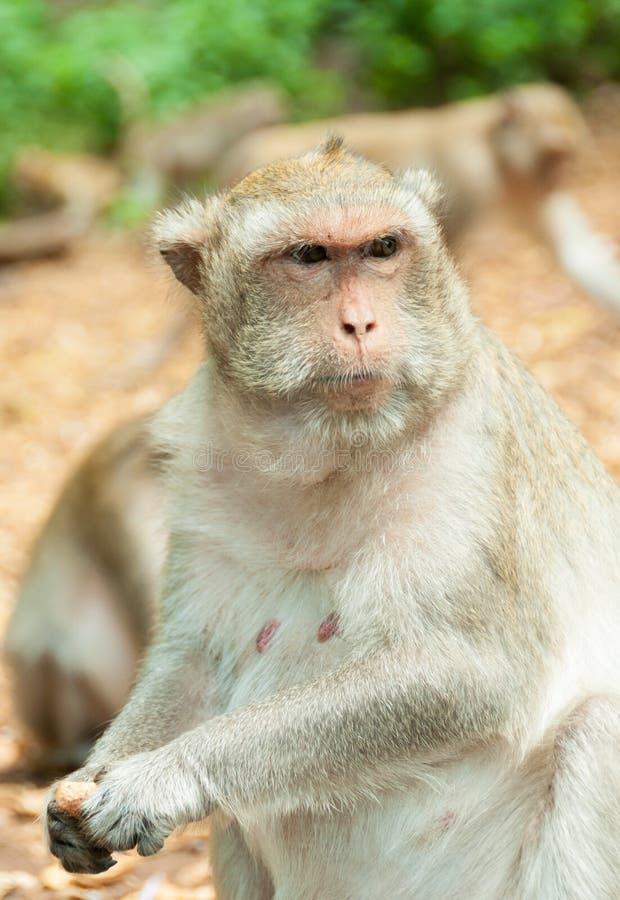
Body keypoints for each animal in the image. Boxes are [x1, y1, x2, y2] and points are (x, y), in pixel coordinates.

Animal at [45, 139, 620, 898]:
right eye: (309, 256)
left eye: (382, 248)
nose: (361, 324)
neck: (329, 455)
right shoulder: (199, 468)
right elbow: (191, 660)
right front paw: (86, 781)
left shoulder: (476, 451)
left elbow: (471, 673)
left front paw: (168, 775)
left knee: (599, 726)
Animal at [217, 83, 620, 313]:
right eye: (554, 155)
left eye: (569, 155)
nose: (561, 178)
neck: (498, 155)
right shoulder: (468, 179)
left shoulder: (526, 191)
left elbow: (574, 251)